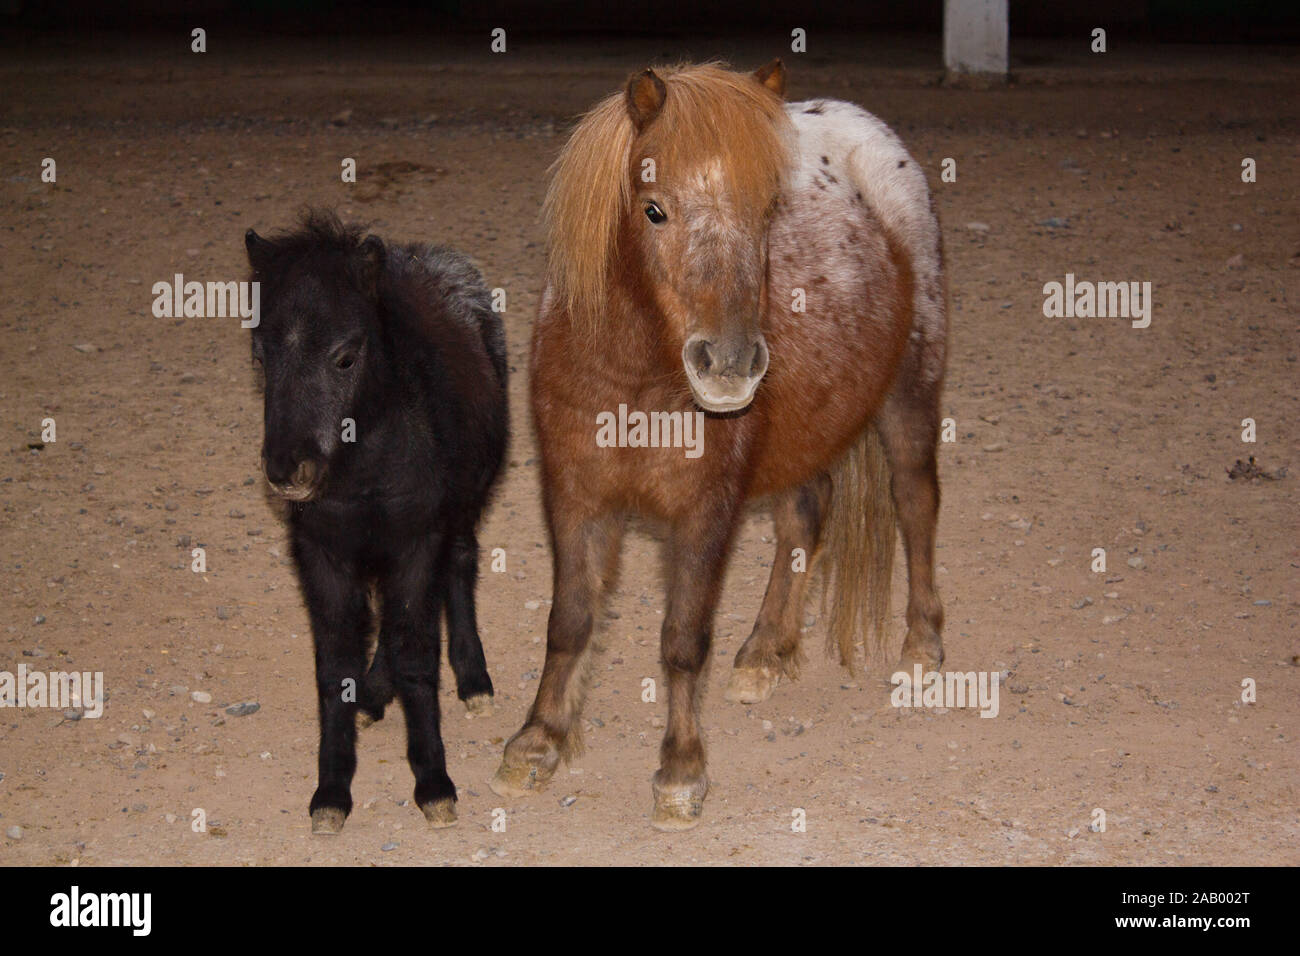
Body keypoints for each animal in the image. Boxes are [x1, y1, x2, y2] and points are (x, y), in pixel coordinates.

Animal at [244, 210, 507, 833]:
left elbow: (416, 655)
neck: (363, 470)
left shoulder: (417, 540)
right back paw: (371, 697)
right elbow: (335, 662)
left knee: (458, 569)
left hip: (460, 511)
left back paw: (473, 680)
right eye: (261, 357)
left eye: (345, 357)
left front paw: (434, 783)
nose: (286, 470)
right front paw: (331, 791)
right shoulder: (323, 555)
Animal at [490, 61, 948, 830]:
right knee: (805, 514)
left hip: (910, 392)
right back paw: (767, 651)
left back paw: (921, 646)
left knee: (915, 503)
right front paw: (536, 744)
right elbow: (570, 622)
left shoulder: (705, 512)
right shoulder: (575, 499)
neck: (635, 380)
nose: (730, 364)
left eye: (766, 213)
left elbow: (682, 640)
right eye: (653, 209)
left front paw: (680, 771)